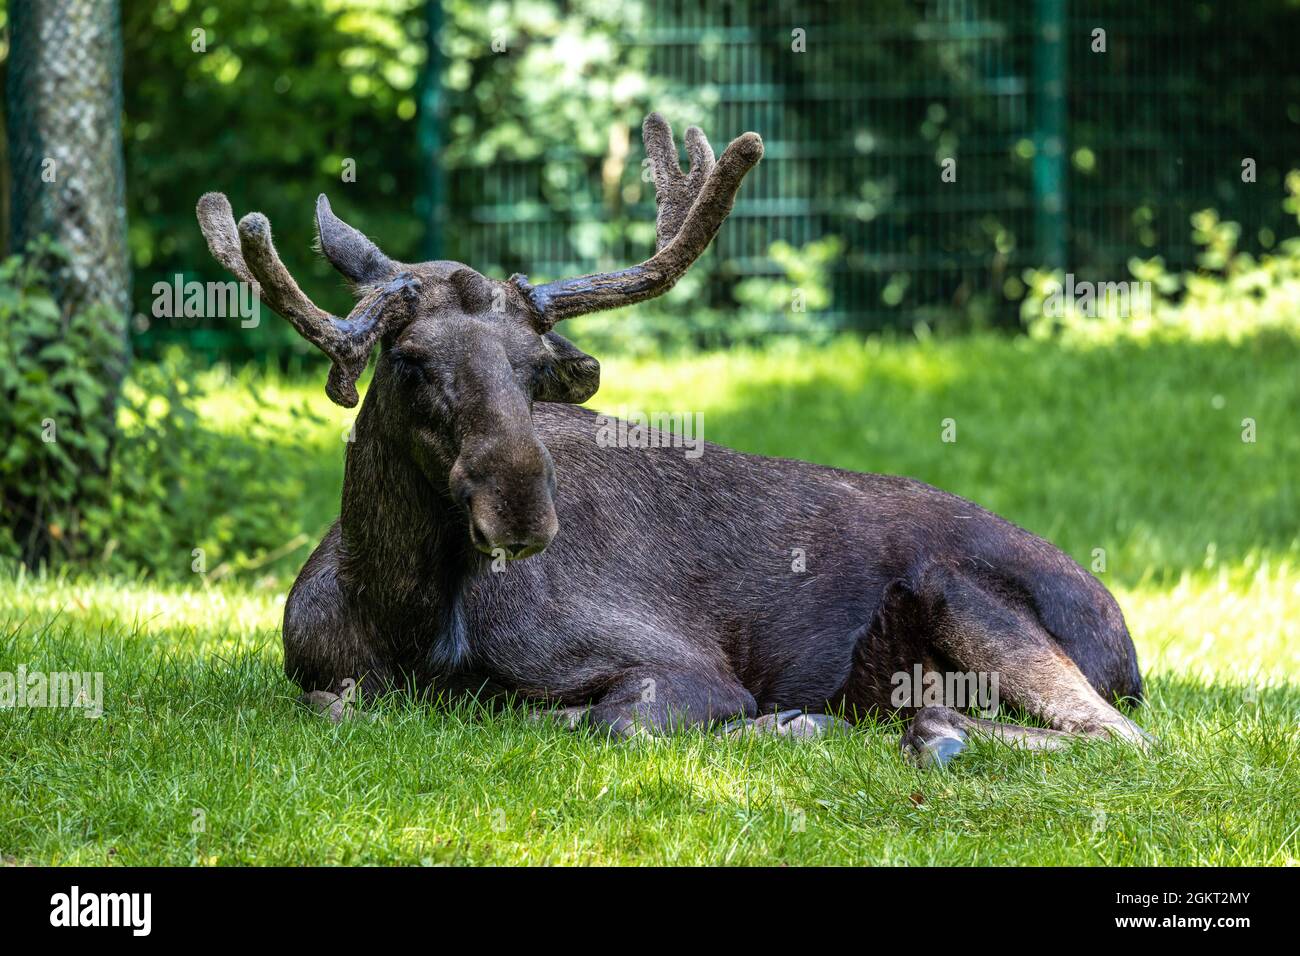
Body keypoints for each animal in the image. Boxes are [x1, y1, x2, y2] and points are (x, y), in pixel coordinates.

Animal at [196, 112, 1149, 767]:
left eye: (536, 368)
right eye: (412, 360)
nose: (520, 510)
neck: (397, 613)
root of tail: (1129, 645)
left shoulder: (681, 665)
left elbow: (596, 721)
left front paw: (781, 721)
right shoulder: (315, 674)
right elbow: (336, 705)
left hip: (964, 594)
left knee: (1122, 737)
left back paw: (914, 731)